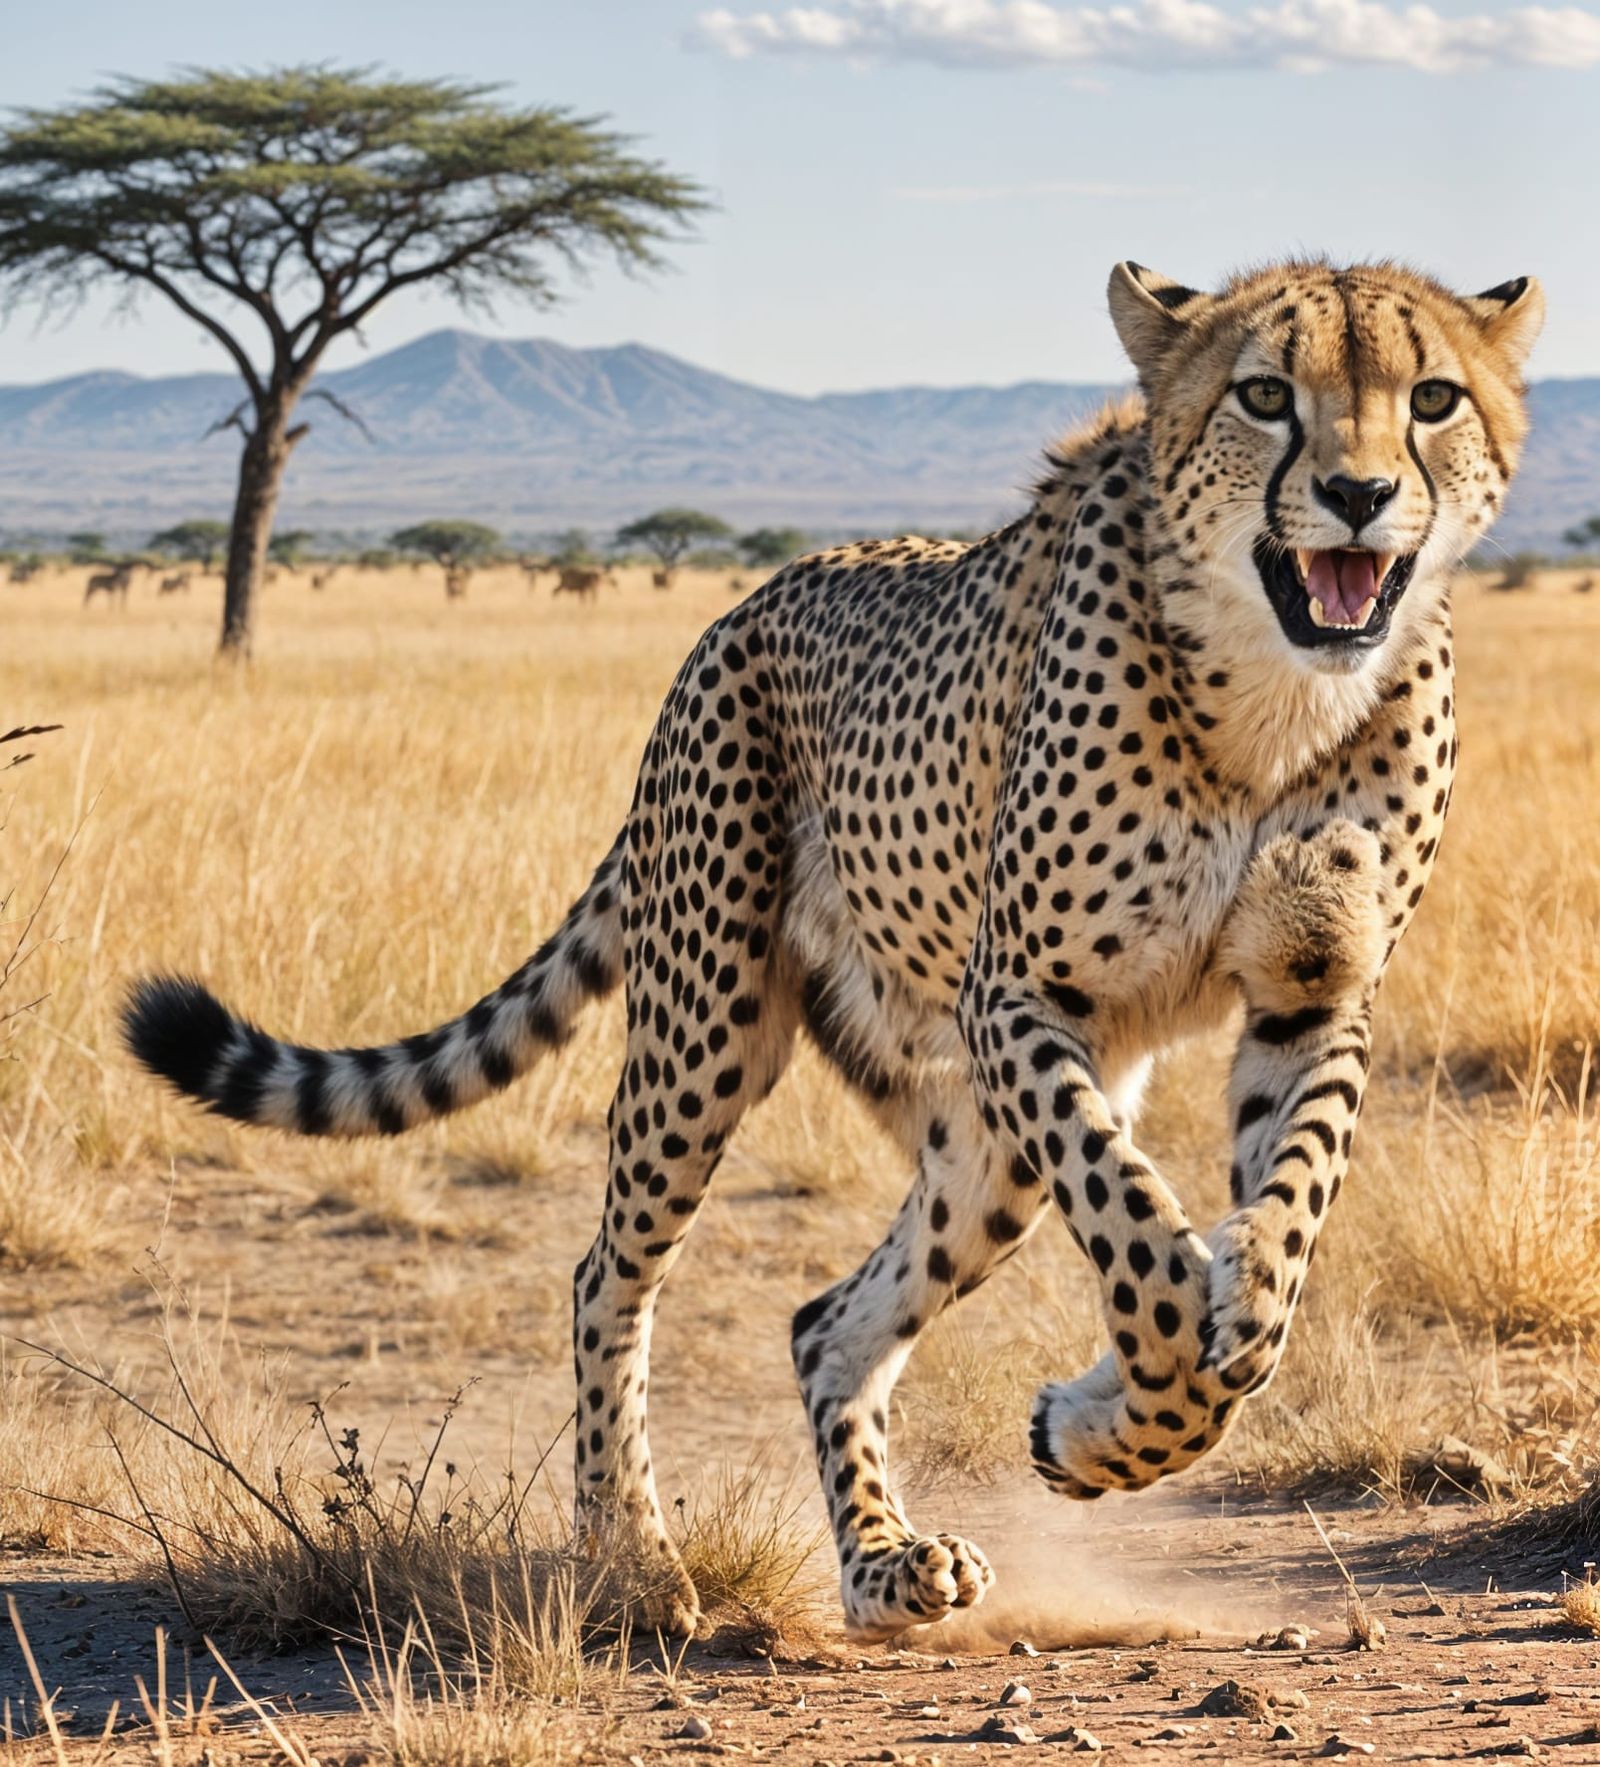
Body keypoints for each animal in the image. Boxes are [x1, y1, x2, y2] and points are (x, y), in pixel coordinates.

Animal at [123, 257, 1543, 1643]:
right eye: (1261, 395)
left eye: (1429, 400)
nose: (1357, 496)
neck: (1273, 694)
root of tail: (740, 608)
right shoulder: (1019, 996)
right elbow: (1136, 1230)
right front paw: (1141, 1386)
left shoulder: (1312, 993)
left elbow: (1289, 1210)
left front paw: (1142, 1386)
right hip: (708, 1036)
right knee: (605, 1277)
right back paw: (634, 1561)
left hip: (974, 1143)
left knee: (824, 1322)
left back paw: (883, 1565)